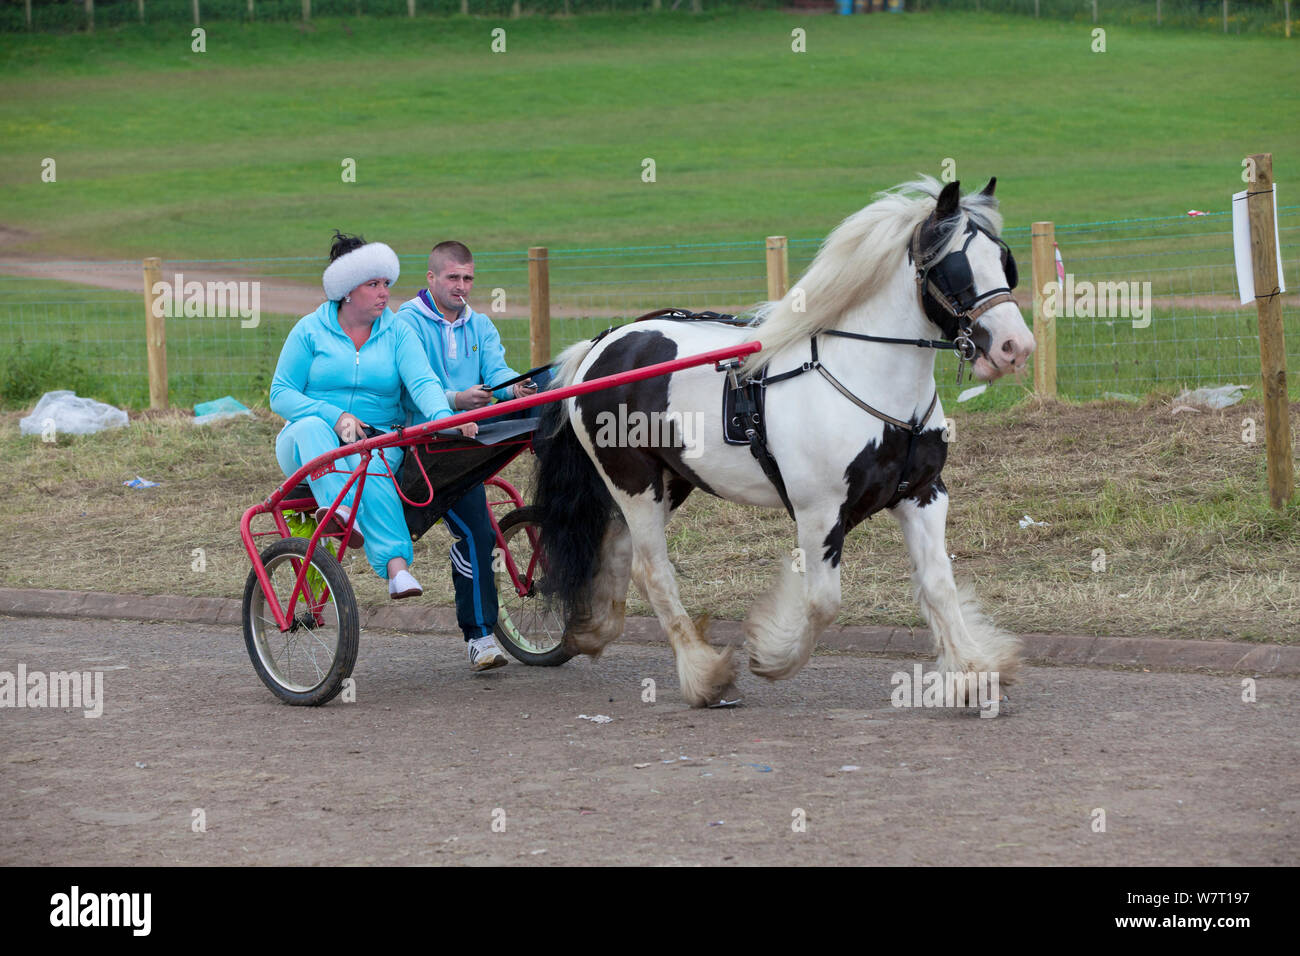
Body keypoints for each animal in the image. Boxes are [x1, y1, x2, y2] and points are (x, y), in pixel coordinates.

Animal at [531, 177, 1033, 708]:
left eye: (1003, 259)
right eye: (955, 266)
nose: (1015, 347)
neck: (868, 380)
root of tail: (600, 346)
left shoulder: (923, 495)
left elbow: (938, 584)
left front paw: (972, 672)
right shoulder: (820, 511)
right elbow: (822, 601)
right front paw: (772, 657)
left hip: (672, 481)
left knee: (619, 545)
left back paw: (595, 629)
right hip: (632, 480)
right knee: (653, 570)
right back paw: (703, 674)